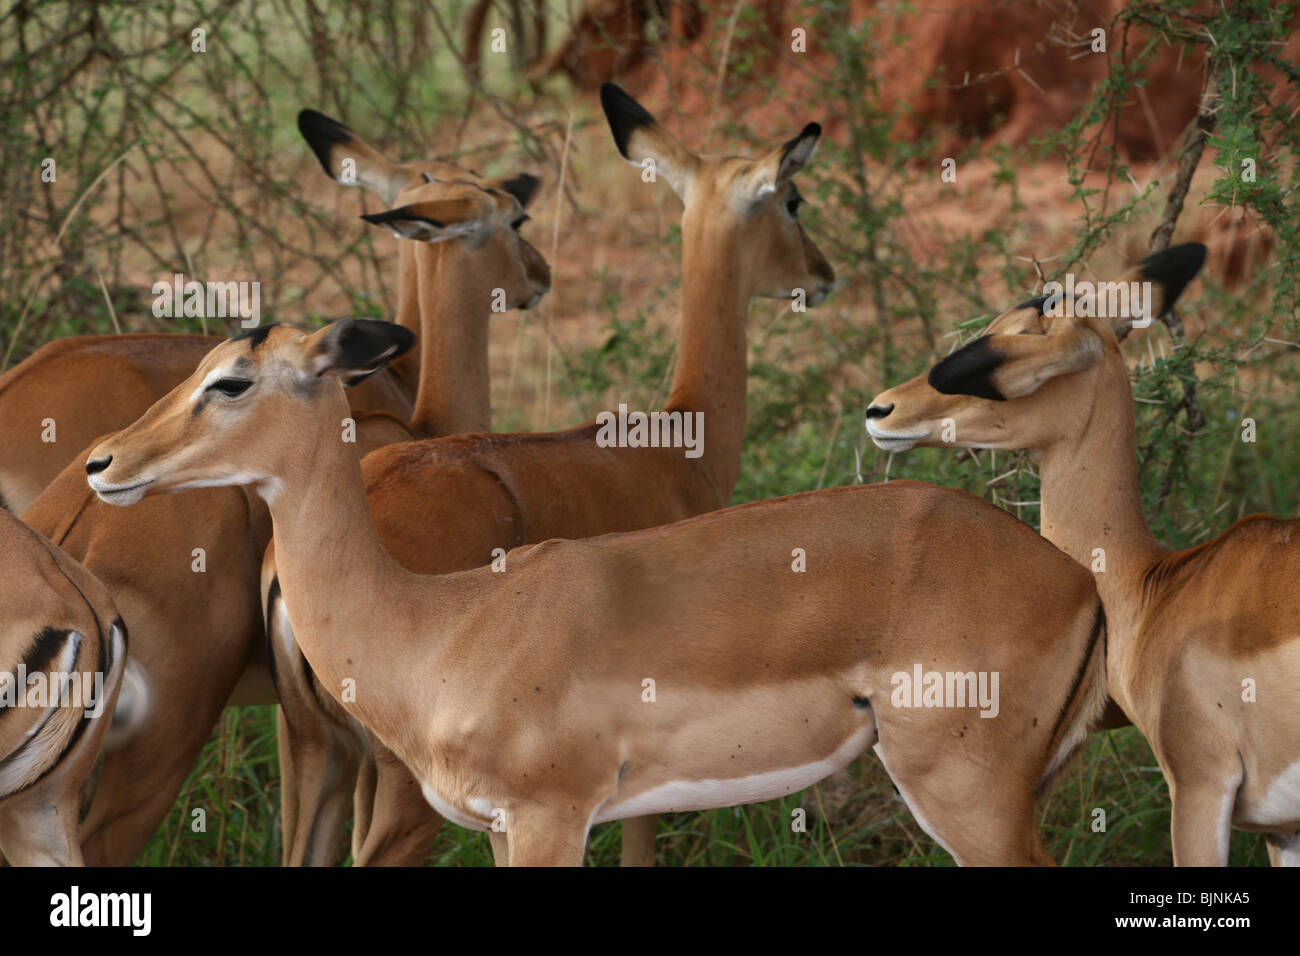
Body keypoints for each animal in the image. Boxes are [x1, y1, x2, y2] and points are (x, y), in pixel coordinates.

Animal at [88, 318, 1109, 867]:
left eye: (231, 380)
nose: (102, 462)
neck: (441, 627)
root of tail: (1079, 584)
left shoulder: (552, 818)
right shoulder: (502, 829)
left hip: (967, 793)